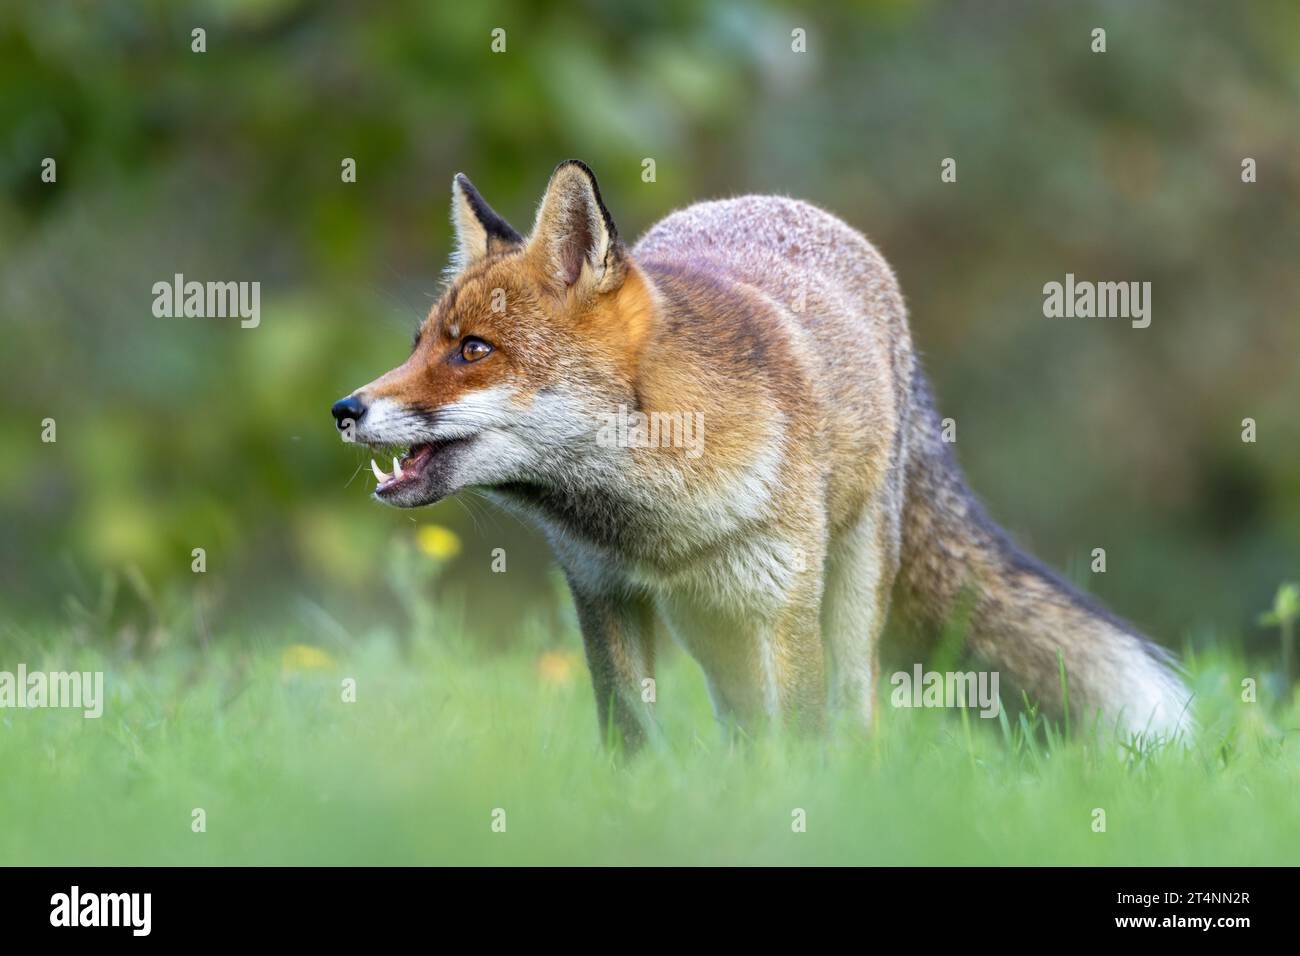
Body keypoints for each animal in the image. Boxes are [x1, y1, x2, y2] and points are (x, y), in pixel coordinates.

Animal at [332, 159, 1193, 749]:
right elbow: (632, 739)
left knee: (851, 717)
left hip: (846, 594)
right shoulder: (603, 594)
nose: (345, 409)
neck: (655, 516)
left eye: (474, 350)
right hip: (712, 628)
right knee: (743, 725)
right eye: (419, 345)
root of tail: (793, 205)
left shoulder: (784, 603)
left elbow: (803, 743)